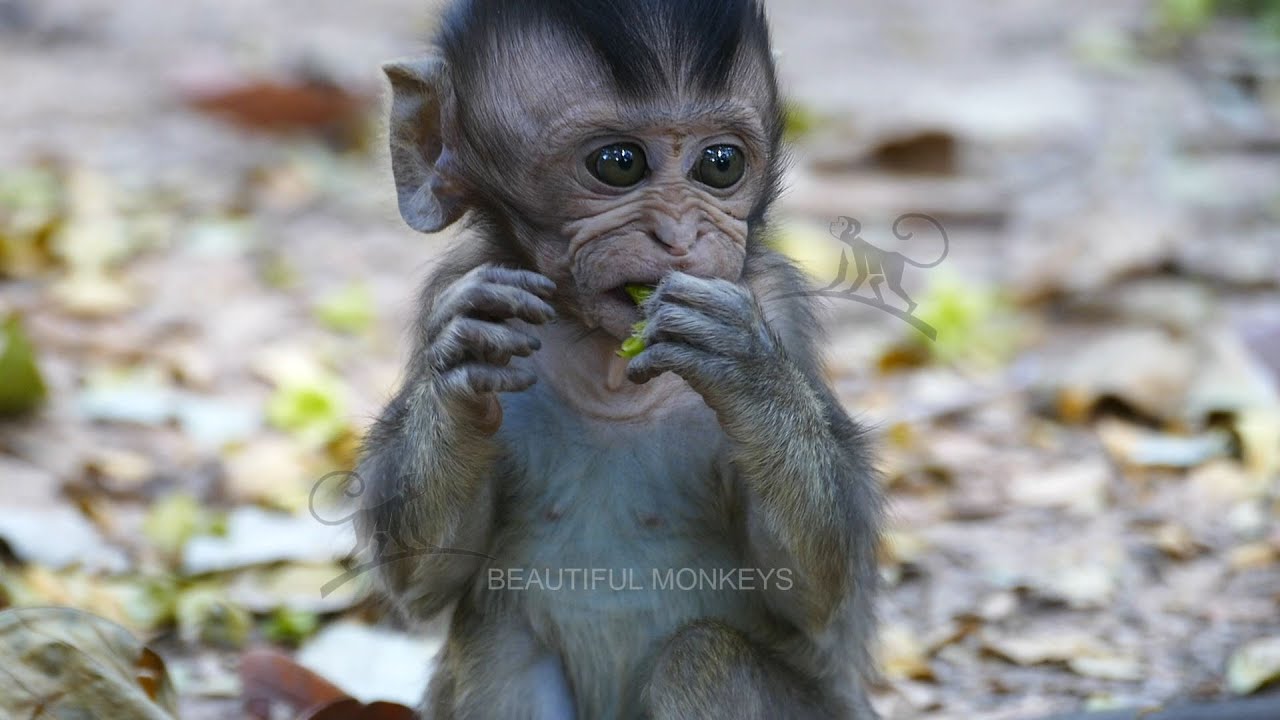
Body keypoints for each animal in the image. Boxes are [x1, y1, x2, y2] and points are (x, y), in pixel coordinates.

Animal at [355, 1, 882, 718]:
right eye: (619, 163)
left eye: (720, 163)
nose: (680, 236)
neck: (612, 370)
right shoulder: (457, 282)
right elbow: (423, 576)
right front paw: (460, 365)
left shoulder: (776, 305)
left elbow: (818, 592)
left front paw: (745, 367)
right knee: (498, 636)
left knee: (701, 660)